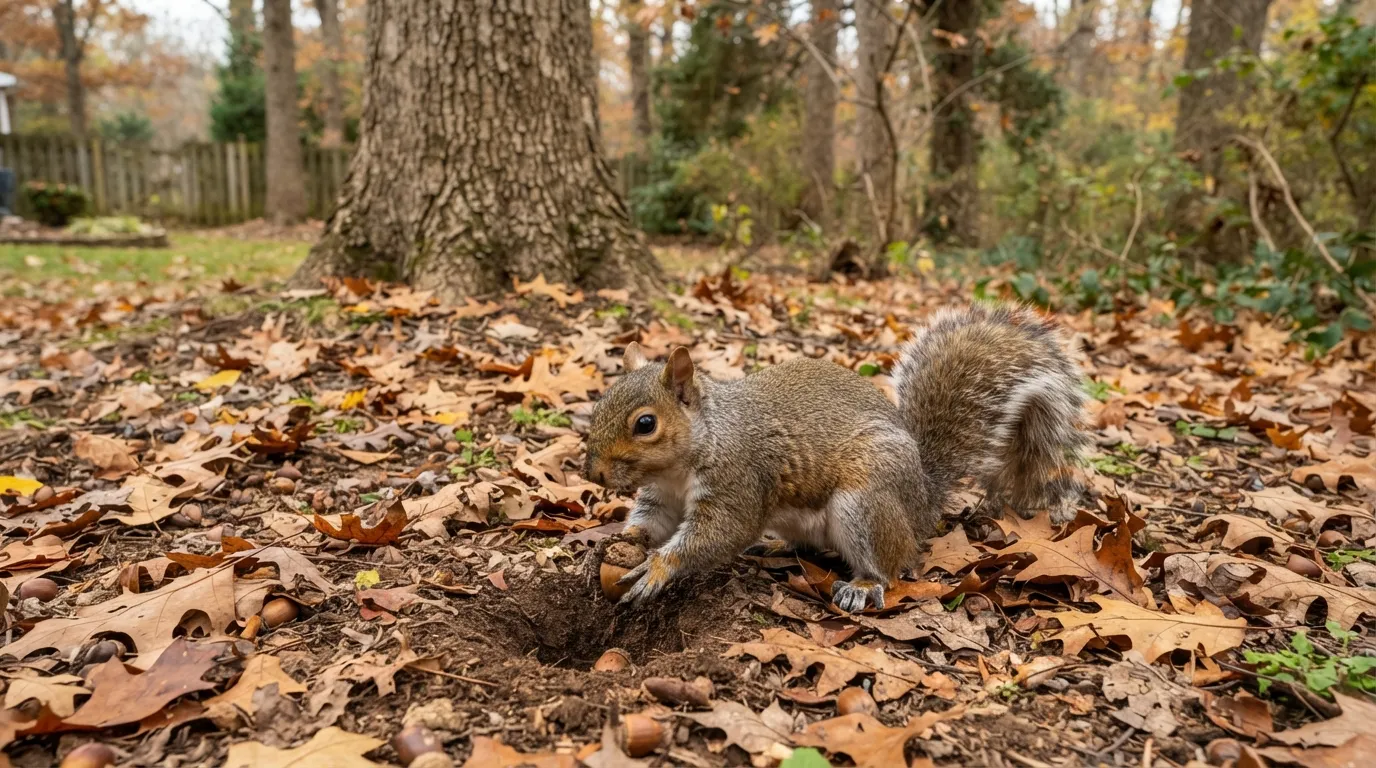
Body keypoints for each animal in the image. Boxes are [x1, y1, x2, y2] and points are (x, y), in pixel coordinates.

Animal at [582, 303, 1087, 612]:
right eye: (600, 402)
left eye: (645, 424)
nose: (594, 473)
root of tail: (922, 499)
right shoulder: (661, 495)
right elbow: (652, 522)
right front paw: (620, 542)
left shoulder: (737, 479)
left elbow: (719, 533)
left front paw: (657, 567)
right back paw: (779, 546)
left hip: (865, 502)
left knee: (892, 566)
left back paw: (863, 585)